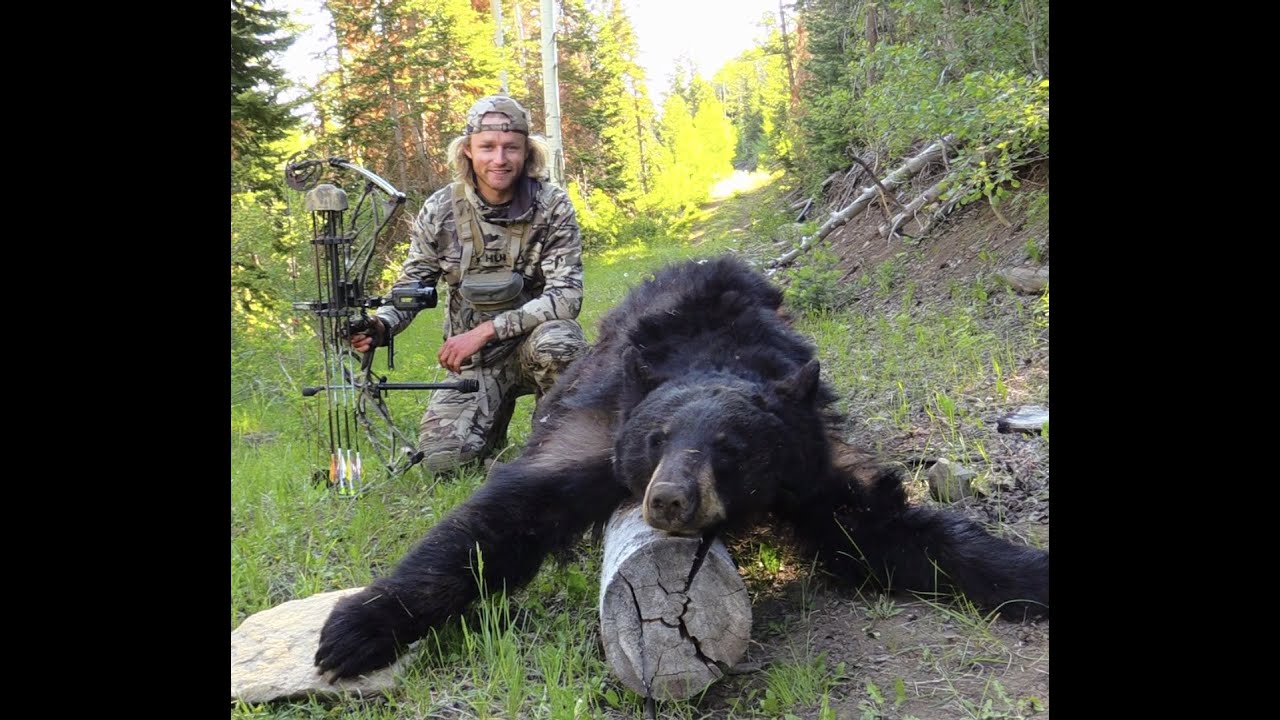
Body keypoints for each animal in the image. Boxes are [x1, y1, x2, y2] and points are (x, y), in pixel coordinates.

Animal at [314, 255, 1049, 680]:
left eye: (731, 448)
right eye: (656, 440)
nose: (669, 498)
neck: (714, 353)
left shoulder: (812, 456)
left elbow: (884, 528)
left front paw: (1027, 573)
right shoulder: (605, 422)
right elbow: (500, 518)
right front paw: (355, 630)